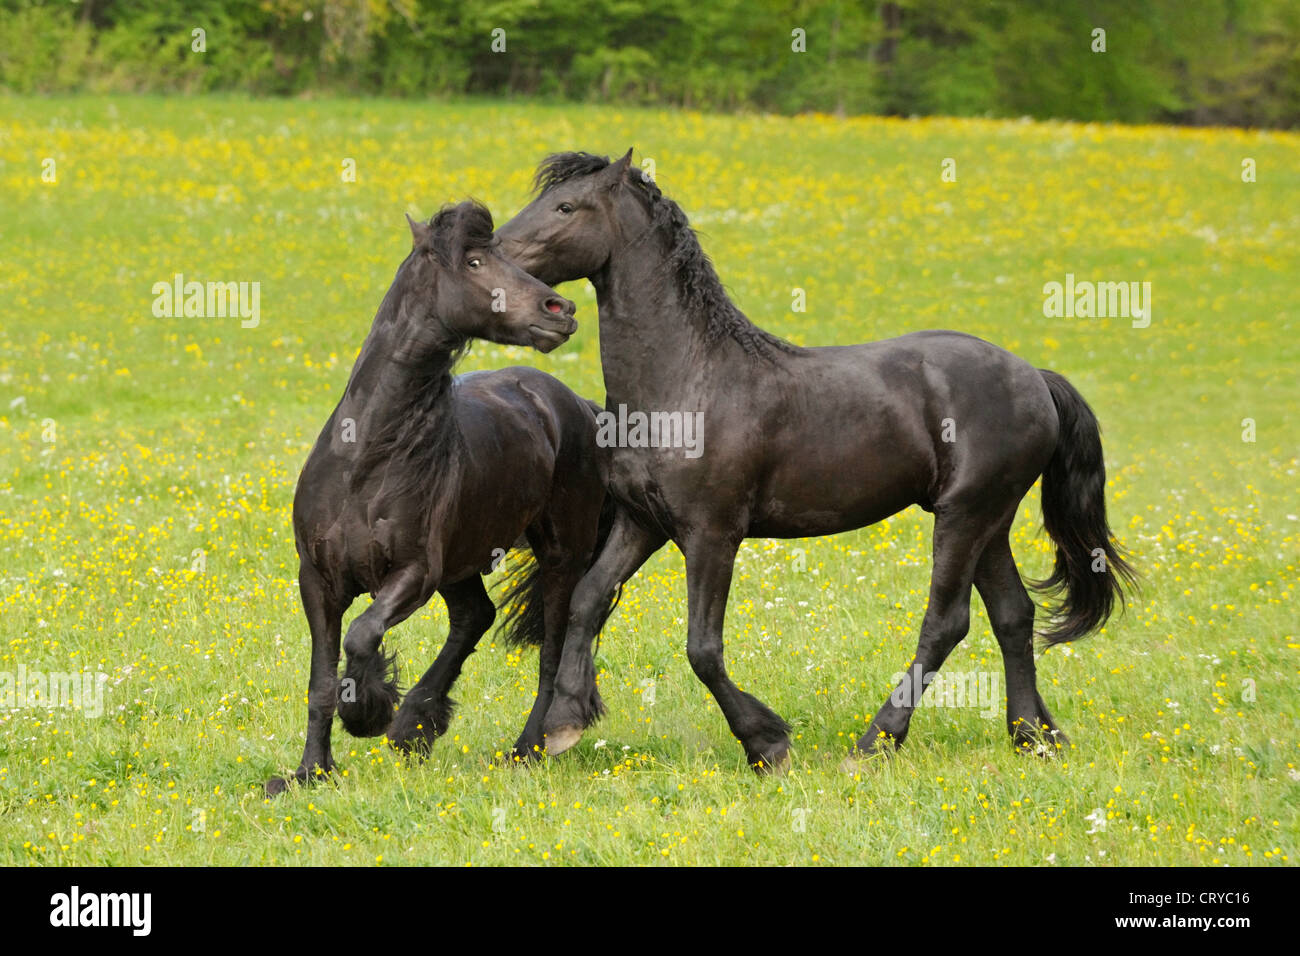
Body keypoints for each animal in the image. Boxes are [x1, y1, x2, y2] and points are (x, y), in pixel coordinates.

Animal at [266, 200, 610, 795]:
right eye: (474, 261)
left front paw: (369, 712)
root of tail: (573, 404)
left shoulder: (413, 575)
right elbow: (321, 677)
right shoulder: (317, 580)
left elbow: (362, 636)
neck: (367, 459)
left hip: (560, 556)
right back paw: (416, 726)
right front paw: (309, 772)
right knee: (475, 616)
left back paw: (523, 749)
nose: (561, 308)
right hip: (463, 563)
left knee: (550, 650)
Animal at [495, 150, 1138, 772]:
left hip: (965, 515)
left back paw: (875, 745)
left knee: (946, 623)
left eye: (566, 206)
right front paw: (562, 725)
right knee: (1013, 615)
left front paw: (767, 744)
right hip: (990, 520)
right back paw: (1035, 738)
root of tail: (1034, 377)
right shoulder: (642, 523)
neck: (688, 377)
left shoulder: (712, 533)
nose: (501, 262)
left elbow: (702, 648)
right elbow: (585, 602)